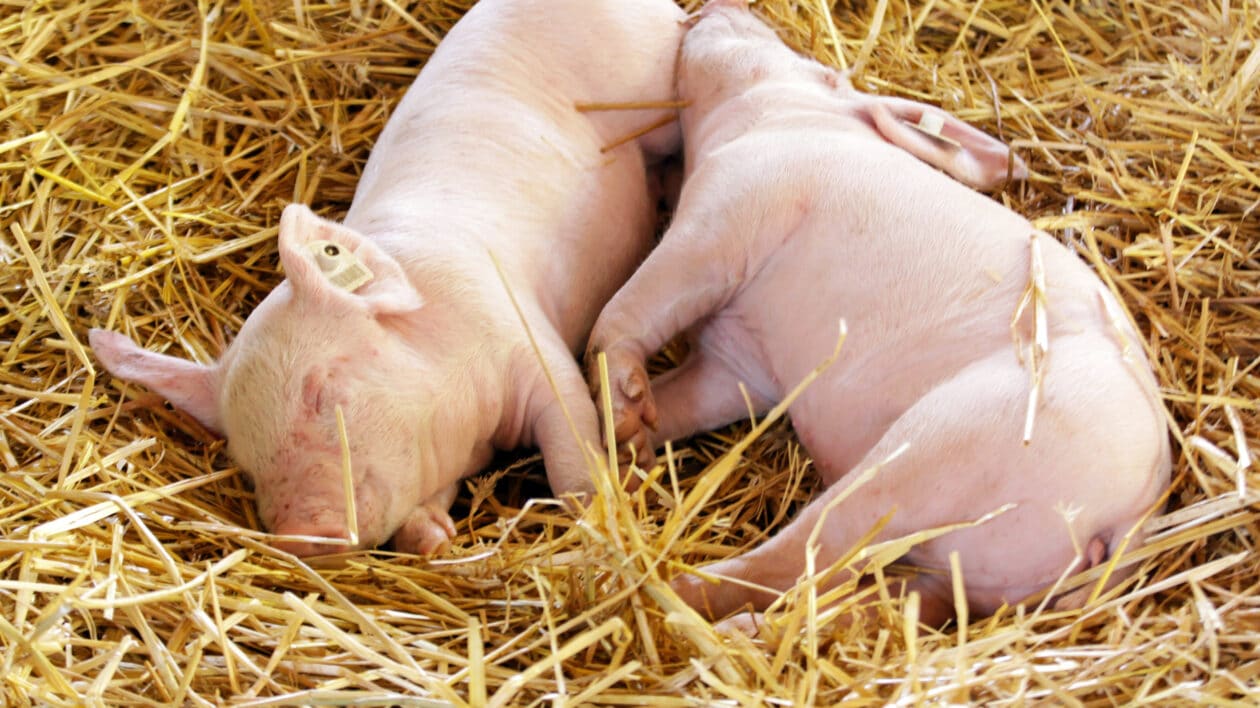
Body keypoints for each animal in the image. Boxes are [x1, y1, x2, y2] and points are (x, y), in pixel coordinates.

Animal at [89, 0, 687, 557]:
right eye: (245, 456)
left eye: (322, 390)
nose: (300, 535)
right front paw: (433, 537)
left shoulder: (527, 338)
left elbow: (570, 443)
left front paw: (602, 508)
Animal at [587, 0, 1171, 628]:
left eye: (817, 66)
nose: (721, 8)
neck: (788, 119)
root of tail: (1135, 519)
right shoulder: (740, 368)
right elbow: (683, 398)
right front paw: (635, 446)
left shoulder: (729, 212)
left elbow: (620, 314)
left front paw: (626, 413)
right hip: (965, 576)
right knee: (885, 603)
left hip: (945, 444)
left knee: (807, 552)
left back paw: (675, 596)